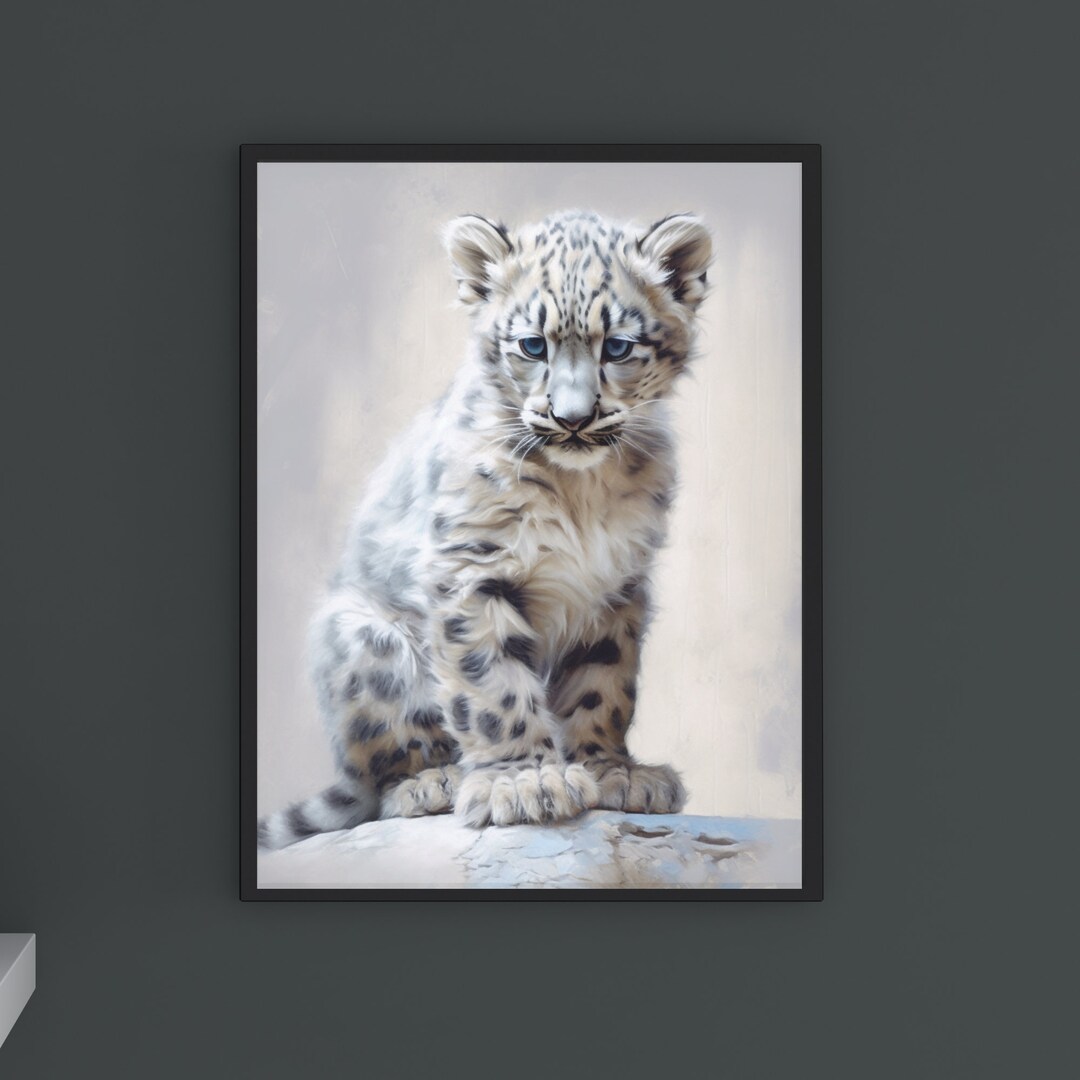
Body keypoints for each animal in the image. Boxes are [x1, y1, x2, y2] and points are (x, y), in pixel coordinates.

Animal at [258, 208, 712, 850]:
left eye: (619, 347)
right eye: (532, 344)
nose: (573, 420)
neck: (582, 490)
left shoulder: (617, 585)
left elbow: (603, 683)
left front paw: (611, 770)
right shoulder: (474, 569)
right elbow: (495, 685)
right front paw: (524, 782)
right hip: (364, 642)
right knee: (384, 772)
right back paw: (434, 781)